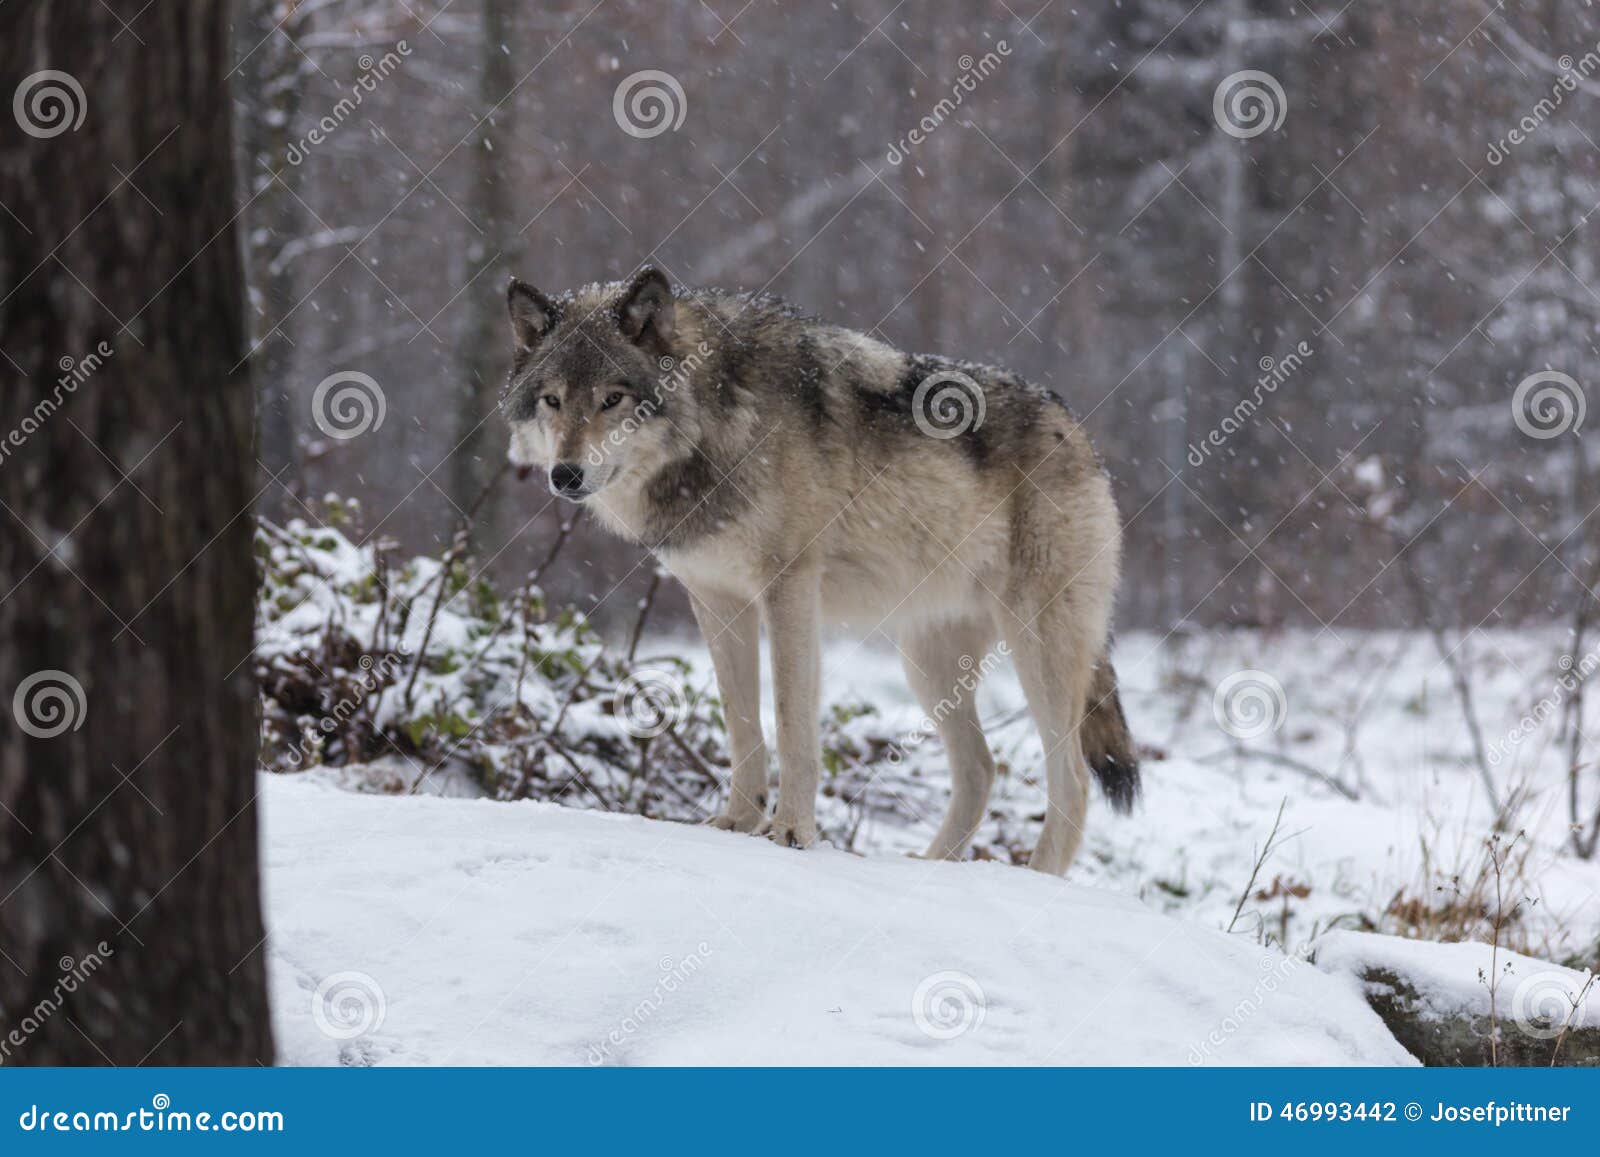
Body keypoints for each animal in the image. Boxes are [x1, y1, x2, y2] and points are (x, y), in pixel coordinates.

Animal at [501, 266, 1139, 875]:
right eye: (553, 401)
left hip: (1037, 649)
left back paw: (1037, 879)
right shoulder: (716, 600)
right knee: (982, 768)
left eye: (612, 399)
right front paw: (737, 822)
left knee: (1071, 782)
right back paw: (935, 869)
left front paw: (791, 834)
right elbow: (742, 724)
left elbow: (791, 725)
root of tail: (1078, 431)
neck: (720, 419)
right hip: (928, 664)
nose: (565, 475)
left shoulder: (789, 588)